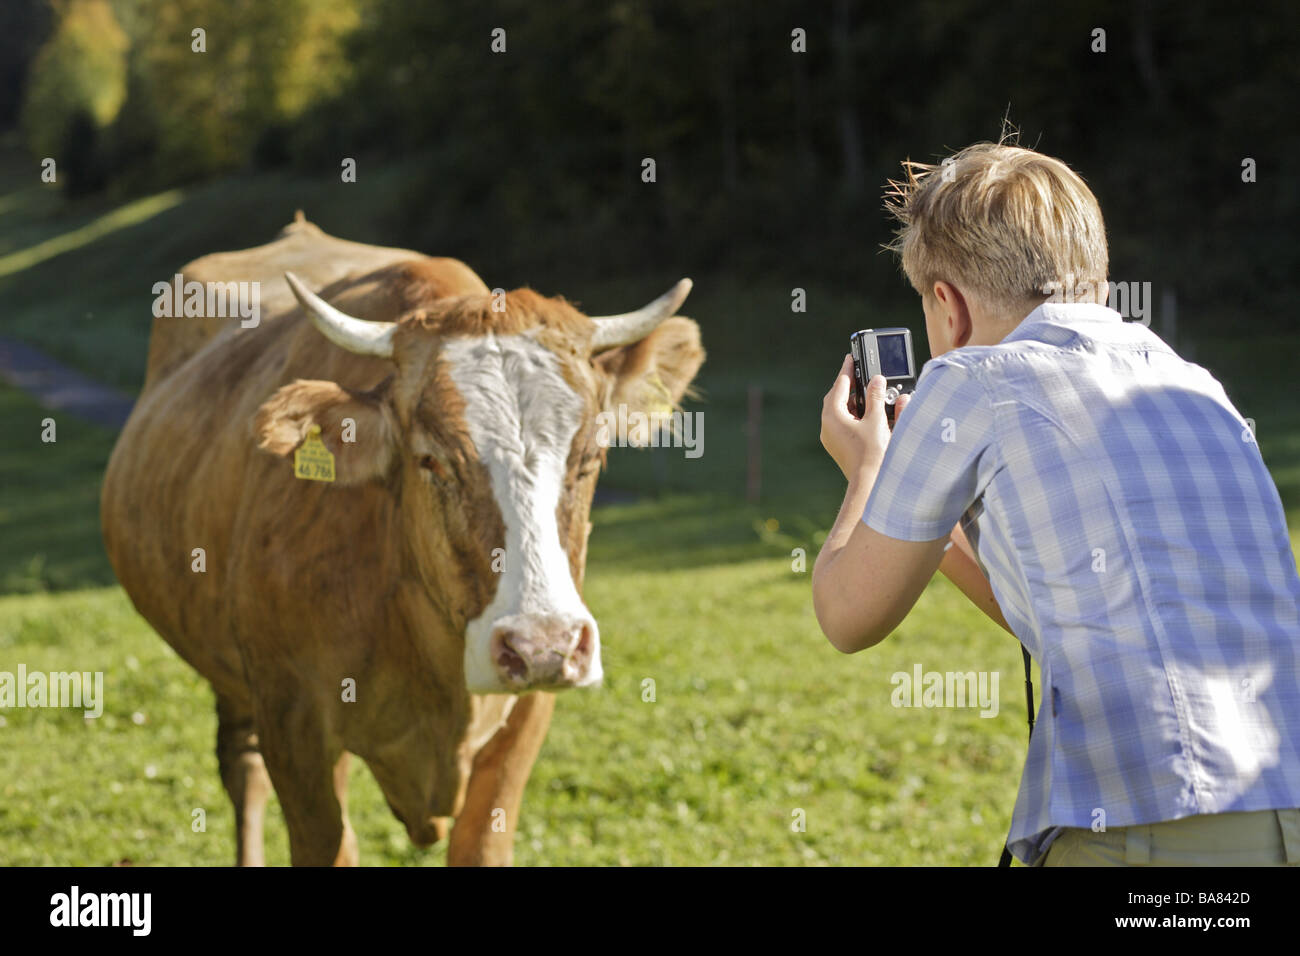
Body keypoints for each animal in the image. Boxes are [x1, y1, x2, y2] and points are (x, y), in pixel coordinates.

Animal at [100, 214, 704, 865]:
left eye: (590, 456)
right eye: (431, 460)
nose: (542, 645)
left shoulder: (523, 722)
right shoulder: (293, 722)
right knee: (243, 768)